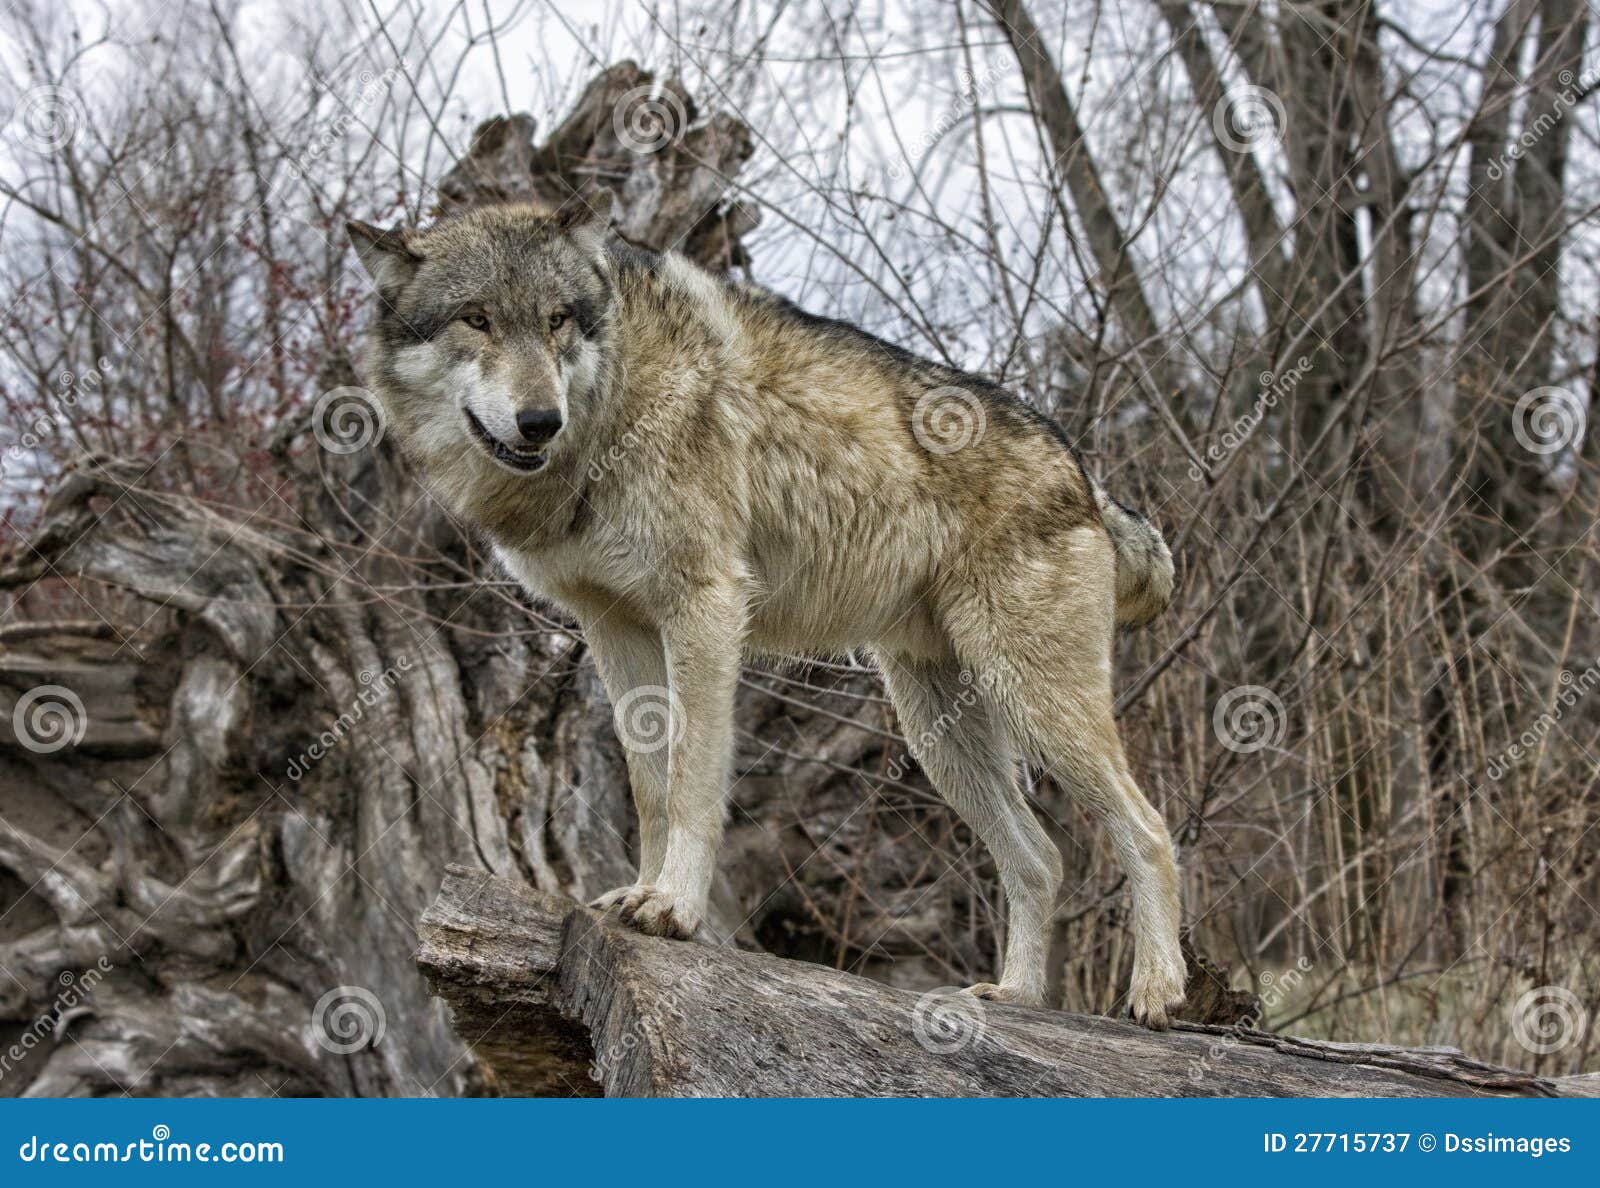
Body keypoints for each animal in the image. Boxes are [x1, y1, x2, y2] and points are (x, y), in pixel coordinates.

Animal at [348, 193, 1187, 1026]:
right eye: (477, 319)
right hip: (936, 729)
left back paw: (1156, 992)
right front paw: (642, 891)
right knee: (1040, 858)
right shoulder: (613, 626)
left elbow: (692, 777)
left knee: (1146, 828)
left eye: (557, 319)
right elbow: (650, 786)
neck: (613, 404)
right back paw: (1014, 996)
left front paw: (673, 908)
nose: (538, 421)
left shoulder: (705, 606)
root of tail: (1083, 471)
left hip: (1031, 698)